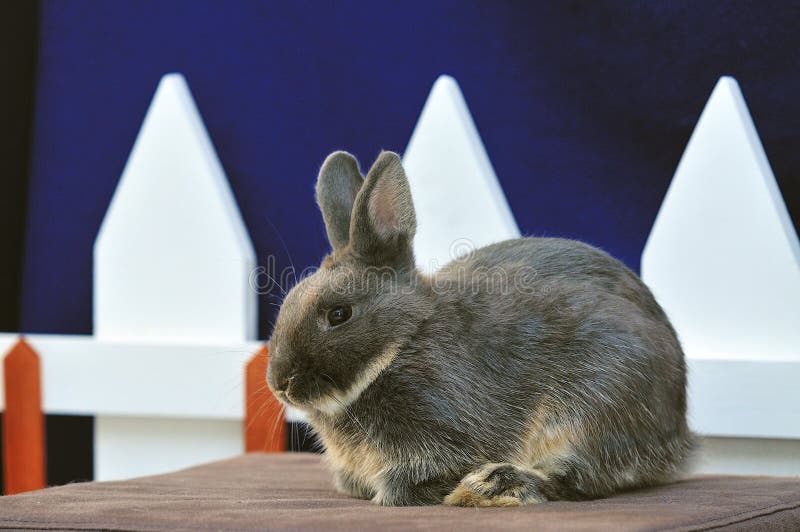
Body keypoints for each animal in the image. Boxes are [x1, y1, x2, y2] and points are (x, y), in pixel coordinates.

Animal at [266, 150, 694, 506]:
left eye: (339, 314)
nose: (280, 383)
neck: (401, 344)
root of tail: (679, 437)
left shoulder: (441, 432)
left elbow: (410, 483)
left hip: (591, 406)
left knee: (573, 480)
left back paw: (488, 487)